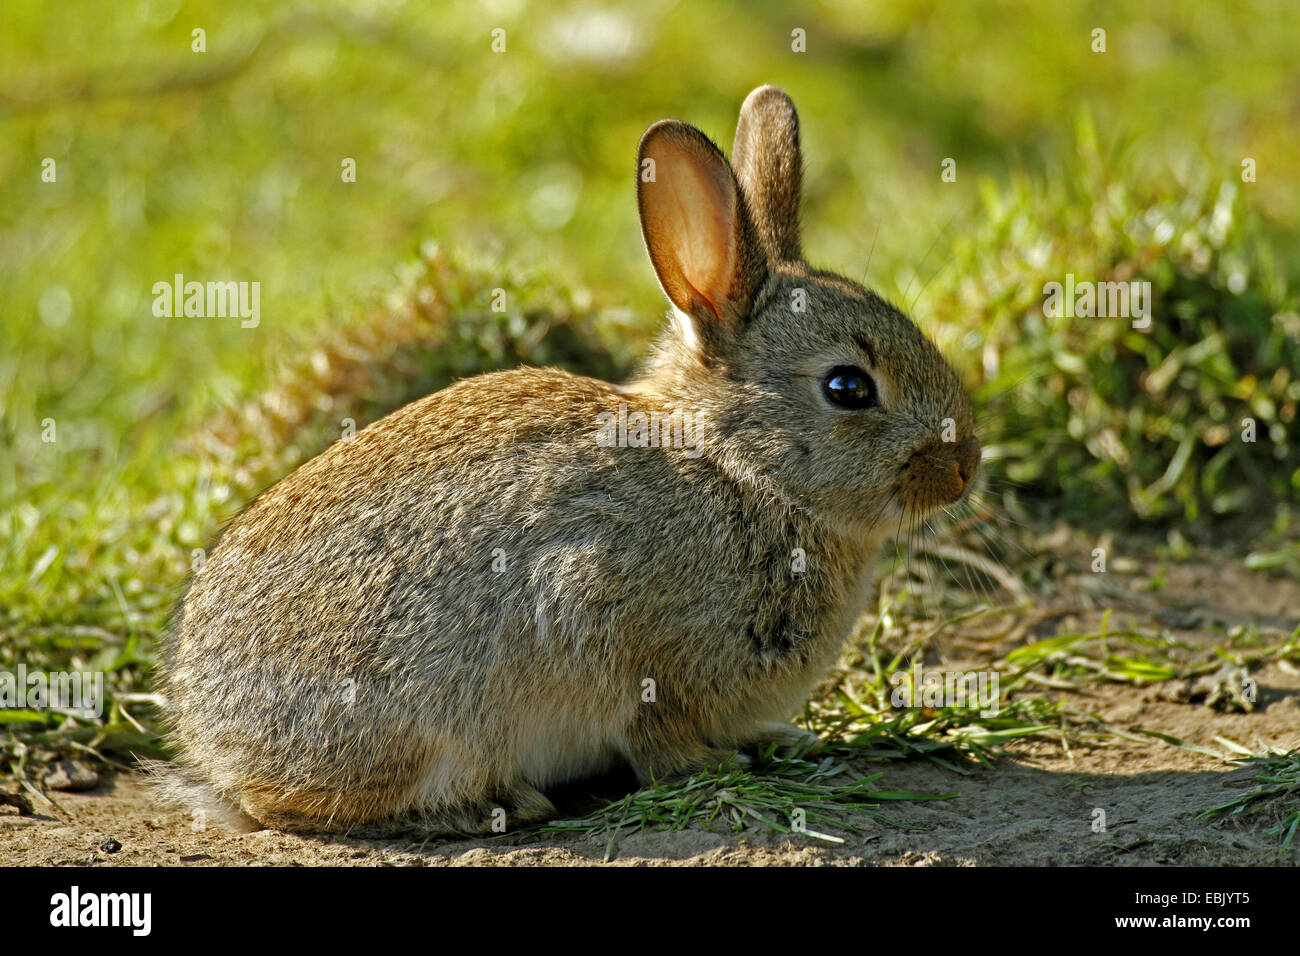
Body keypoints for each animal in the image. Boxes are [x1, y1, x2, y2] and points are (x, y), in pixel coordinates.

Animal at [151, 85, 980, 835]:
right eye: (848, 387)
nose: (965, 464)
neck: (738, 465)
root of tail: (206, 728)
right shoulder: (603, 613)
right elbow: (652, 728)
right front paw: (712, 764)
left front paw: (780, 738)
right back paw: (486, 806)